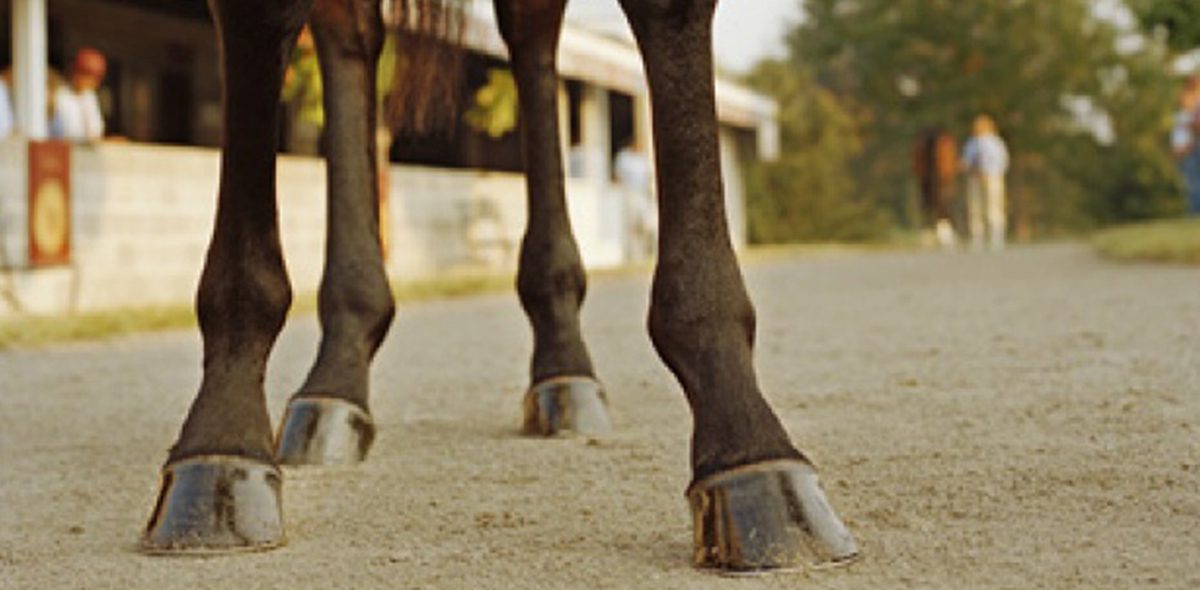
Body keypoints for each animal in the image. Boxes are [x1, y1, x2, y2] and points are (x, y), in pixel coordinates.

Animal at [140, 0, 858, 572]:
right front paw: (221, 445)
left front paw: (747, 446)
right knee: (353, 35)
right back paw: (337, 376)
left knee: (530, 30)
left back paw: (563, 369)